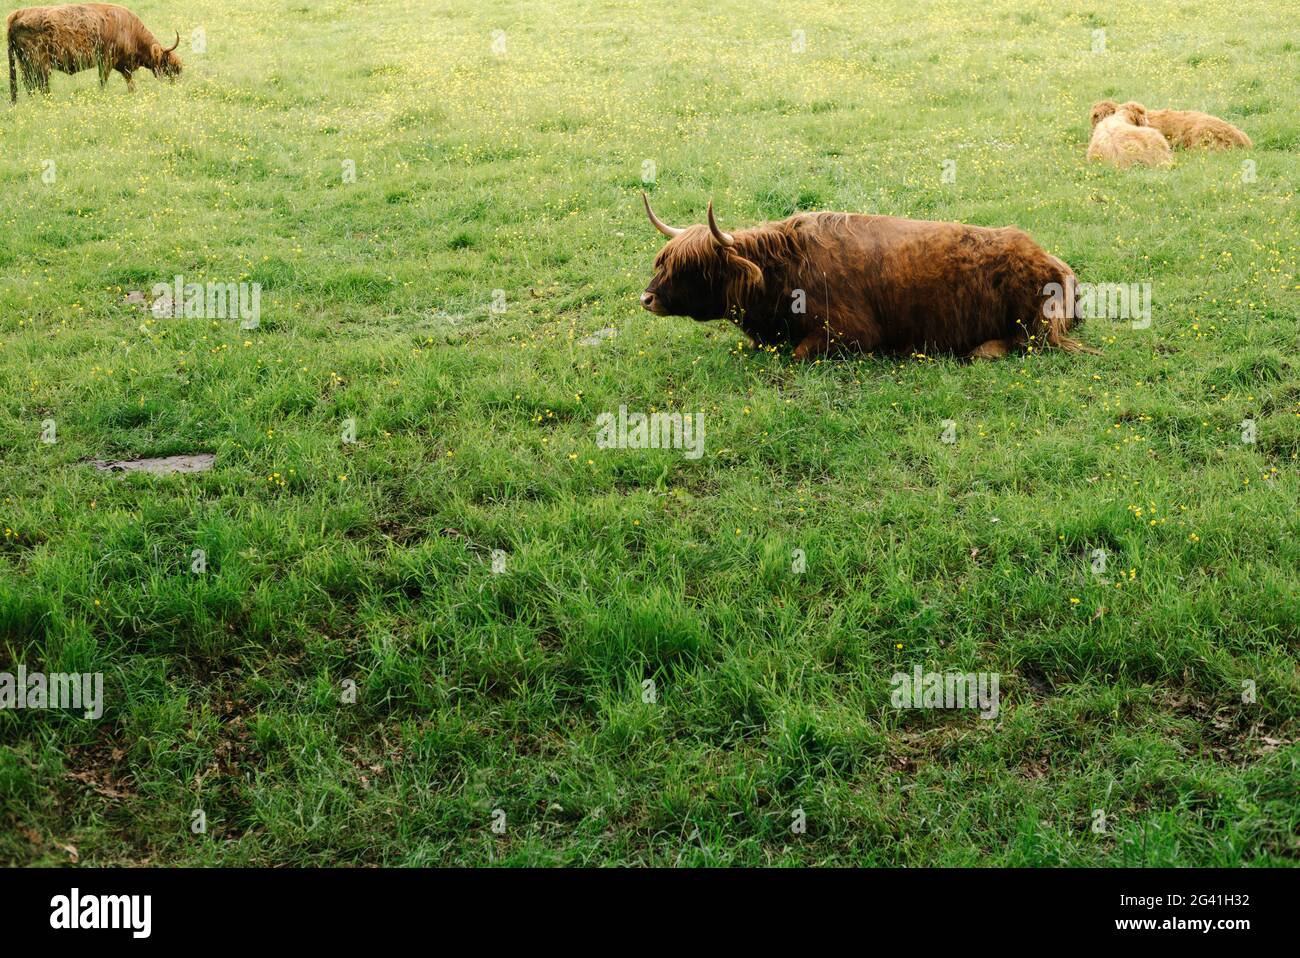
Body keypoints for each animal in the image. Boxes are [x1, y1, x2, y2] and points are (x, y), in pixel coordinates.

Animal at [8, 3, 181, 104]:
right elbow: (103, 81)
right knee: (39, 84)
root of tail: (18, 14)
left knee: (31, 84)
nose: (176, 81)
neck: (129, 28)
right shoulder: (106, 61)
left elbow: (129, 81)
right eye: (167, 63)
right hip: (39, 64)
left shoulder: (121, 65)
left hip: (25, 64)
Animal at [639, 194, 1096, 361]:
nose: (647, 298)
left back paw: (984, 349)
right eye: (662, 263)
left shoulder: (851, 333)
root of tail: (1044, 257)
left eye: (692, 268)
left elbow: (799, 353)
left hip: (1031, 323)